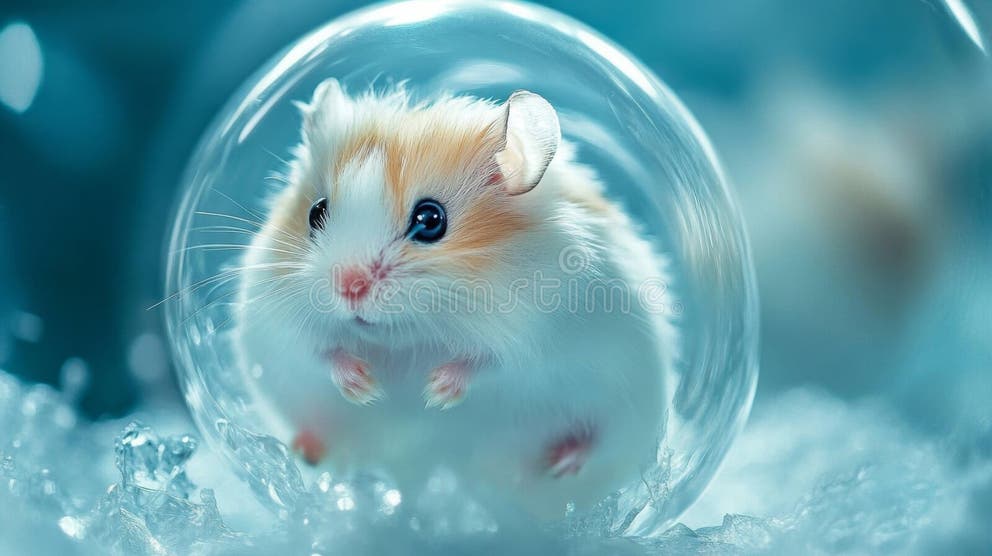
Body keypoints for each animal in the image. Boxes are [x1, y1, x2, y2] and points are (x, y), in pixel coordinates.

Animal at [234, 79, 678, 518]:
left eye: (430, 219)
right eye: (316, 212)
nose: (349, 286)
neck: (411, 335)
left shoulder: (534, 330)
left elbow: (486, 361)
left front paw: (434, 393)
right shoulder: (278, 322)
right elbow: (322, 352)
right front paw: (367, 388)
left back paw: (562, 462)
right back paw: (306, 449)